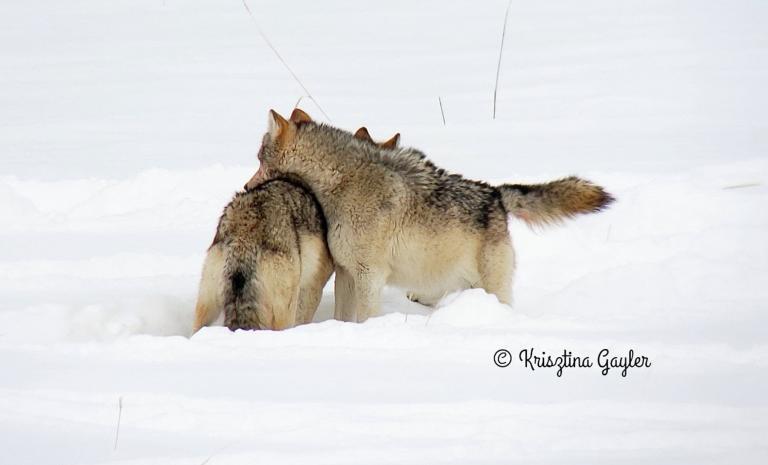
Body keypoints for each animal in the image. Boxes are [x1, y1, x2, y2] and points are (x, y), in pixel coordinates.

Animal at [254, 108, 614, 322]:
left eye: (259, 160)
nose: (246, 185)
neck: (342, 183)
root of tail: (497, 195)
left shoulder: (371, 275)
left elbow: (366, 316)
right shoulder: (346, 271)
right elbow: (344, 317)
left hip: (490, 287)